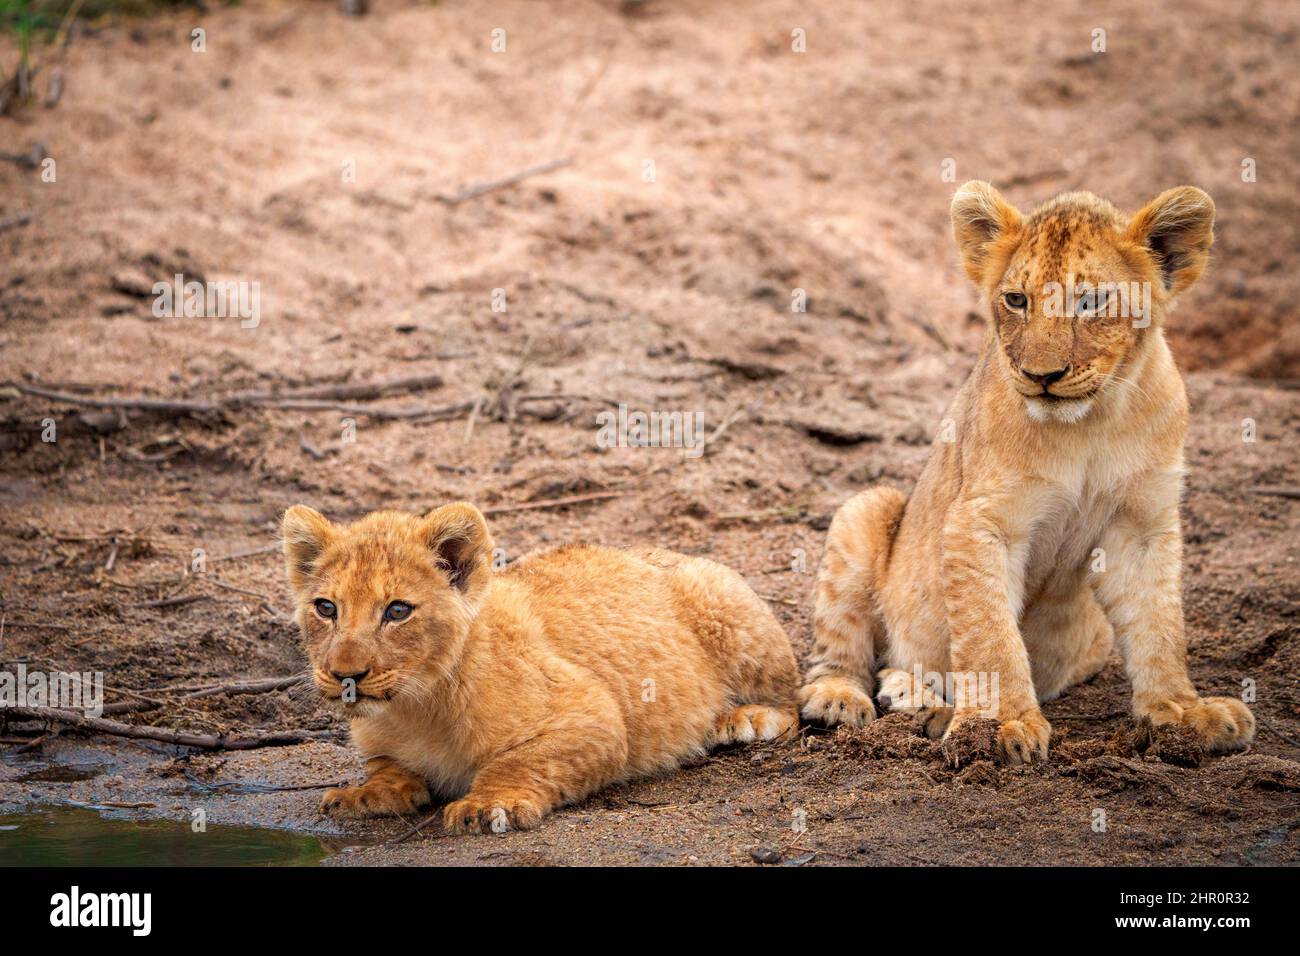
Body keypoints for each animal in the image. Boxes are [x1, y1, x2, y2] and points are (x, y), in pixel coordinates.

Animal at [281, 503, 799, 833]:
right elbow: (385, 766)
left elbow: (518, 759)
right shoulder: (380, 743)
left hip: (724, 603)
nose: (346, 675)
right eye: (326, 608)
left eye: (397, 611)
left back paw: (746, 718)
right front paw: (364, 794)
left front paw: (490, 804)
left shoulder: (595, 715)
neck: (415, 706)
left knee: (790, 695)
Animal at [799, 181, 1255, 764]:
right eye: (1016, 299)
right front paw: (996, 725)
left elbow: (1160, 626)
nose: (1042, 376)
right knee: (847, 651)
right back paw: (867, 696)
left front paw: (1181, 713)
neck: (1091, 423)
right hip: (867, 508)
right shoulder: (981, 519)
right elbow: (990, 636)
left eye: (1091, 301)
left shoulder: (1142, 524)